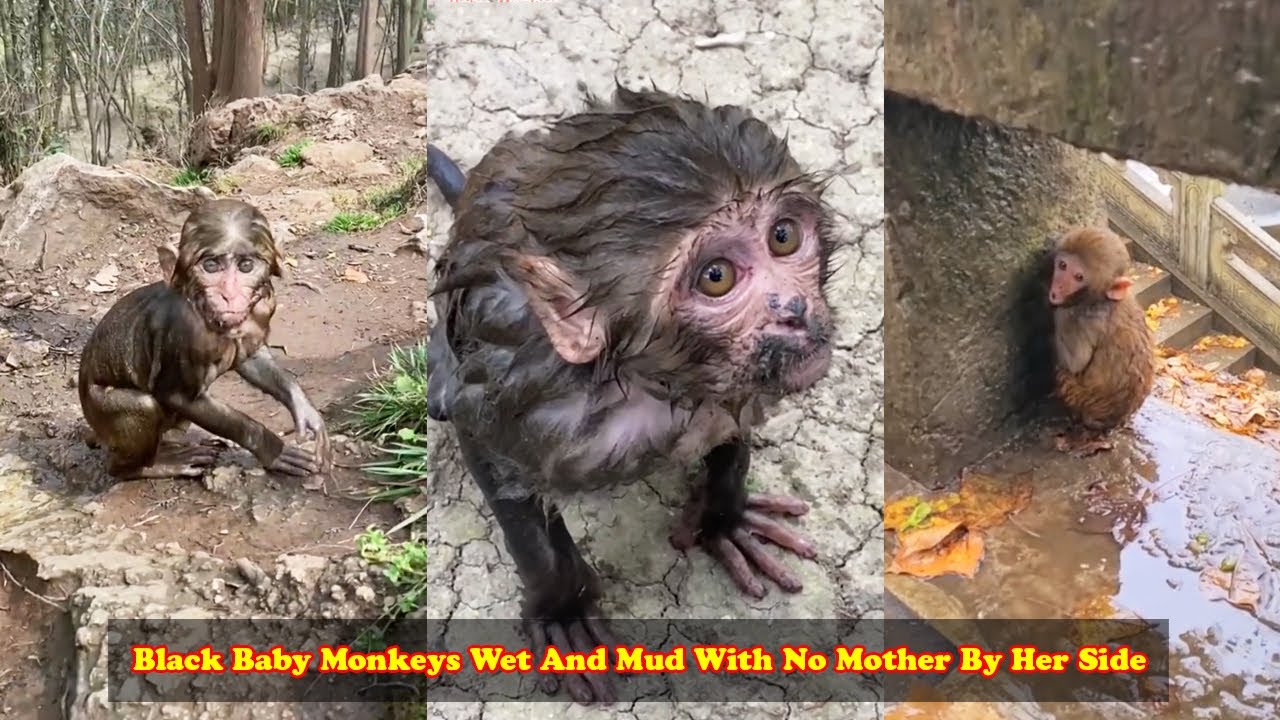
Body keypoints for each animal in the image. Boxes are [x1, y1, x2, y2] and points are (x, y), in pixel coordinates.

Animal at [78, 198, 332, 482]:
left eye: (246, 266)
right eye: (211, 266)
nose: (229, 294)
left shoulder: (263, 308)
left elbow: (252, 358)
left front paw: (304, 409)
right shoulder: (185, 332)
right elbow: (179, 397)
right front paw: (273, 450)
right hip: (101, 413)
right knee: (141, 407)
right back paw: (149, 466)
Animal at [426, 85, 837, 704]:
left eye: (783, 237)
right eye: (716, 276)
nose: (795, 310)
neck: (653, 379)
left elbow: (733, 425)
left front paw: (725, 519)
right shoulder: (533, 397)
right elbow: (492, 457)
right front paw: (563, 607)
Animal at [1047, 225, 1156, 454]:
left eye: (1078, 276)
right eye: (1062, 265)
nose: (1057, 289)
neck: (1102, 299)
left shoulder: (1073, 316)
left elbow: (1075, 363)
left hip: (1079, 398)